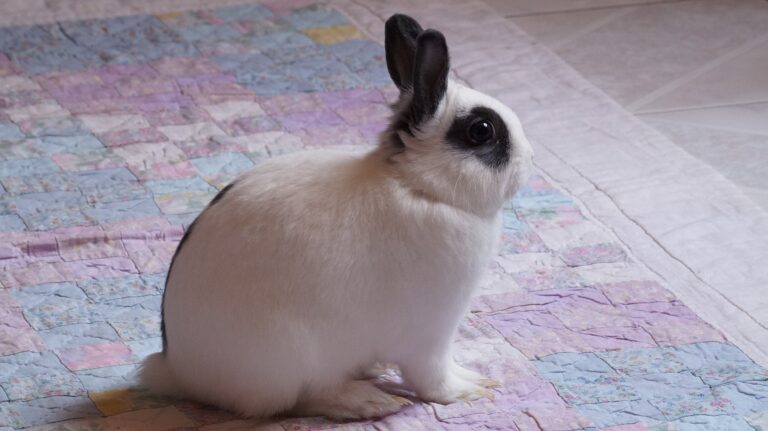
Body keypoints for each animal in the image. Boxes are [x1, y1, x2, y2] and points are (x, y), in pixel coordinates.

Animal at [139, 13, 534, 421]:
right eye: (481, 130)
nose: (530, 159)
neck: (419, 187)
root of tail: (180, 371)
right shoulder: (429, 332)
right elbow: (432, 377)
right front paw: (468, 390)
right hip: (292, 355)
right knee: (300, 399)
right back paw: (368, 400)